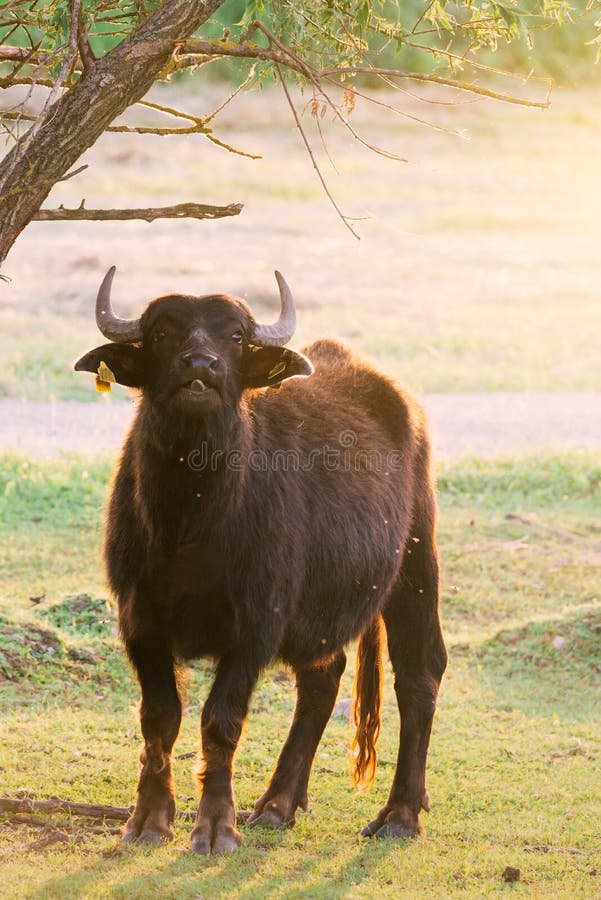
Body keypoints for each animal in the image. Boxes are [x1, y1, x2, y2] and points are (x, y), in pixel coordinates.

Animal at [75, 266, 447, 855]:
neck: (193, 514)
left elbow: (220, 721)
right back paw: (277, 804)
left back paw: (399, 814)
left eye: (234, 336)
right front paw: (149, 820)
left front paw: (214, 828)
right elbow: (159, 719)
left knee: (419, 674)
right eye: (162, 333)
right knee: (323, 679)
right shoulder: (139, 620)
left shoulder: (256, 624)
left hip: (415, 563)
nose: (199, 367)